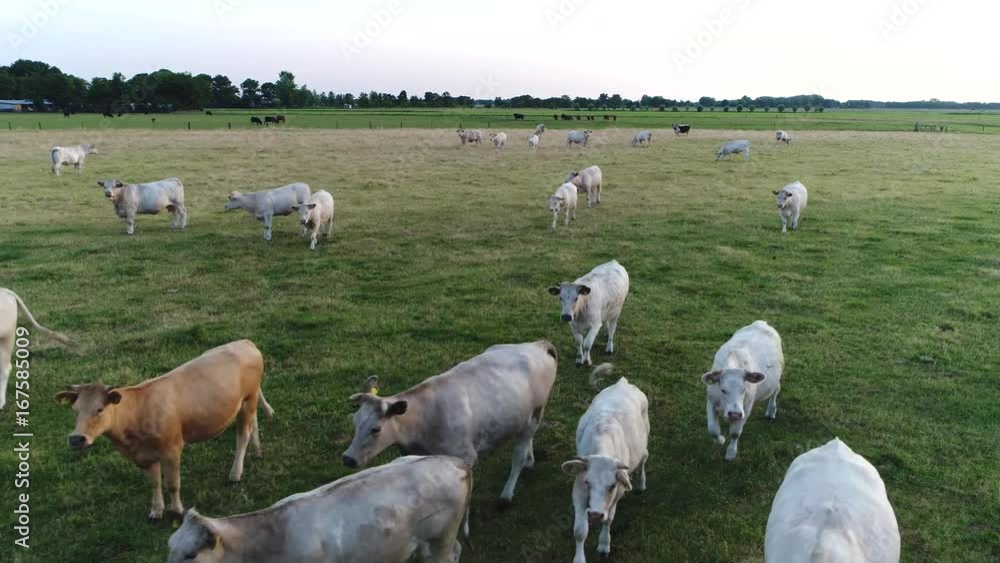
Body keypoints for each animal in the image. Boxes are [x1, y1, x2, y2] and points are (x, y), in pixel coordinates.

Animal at [54, 340, 274, 521]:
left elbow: (172, 483)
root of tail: (245, 342)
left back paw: (235, 473)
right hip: (247, 401)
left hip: (249, 398)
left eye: (99, 409)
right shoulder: (145, 457)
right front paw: (156, 511)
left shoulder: (172, 449)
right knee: (253, 423)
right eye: (75, 410)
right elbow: (155, 483)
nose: (76, 439)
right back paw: (257, 451)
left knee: (243, 434)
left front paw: (177, 510)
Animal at [343, 341, 558, 503]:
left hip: (536, 412)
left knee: (518, 454)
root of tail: (538, 345)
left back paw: (507, 493)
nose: (348, 458)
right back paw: (530, 460)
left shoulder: (466, 457)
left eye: (376, 429)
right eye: (354, 422)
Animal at [563, 364, 649, 563]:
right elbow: (580, 531)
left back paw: (641, 483)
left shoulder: (619, 492)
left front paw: (604, 544)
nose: (595, 514)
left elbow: (608, 519)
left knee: (643, 460)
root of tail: (622, 383)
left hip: (645, 442)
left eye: (611, 486)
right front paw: (579, 558)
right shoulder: (578, 490)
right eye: (588, 482)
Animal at [701, 320, 783, 461]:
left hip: (775, 379)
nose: (734, 414)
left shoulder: (745, 408)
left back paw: (771, 412)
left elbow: (735, 433)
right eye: (722, 390)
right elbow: (712, 428)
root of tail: (761, 323)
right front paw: (720, 440)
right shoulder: (711, 402)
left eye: (744, 389)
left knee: (775, 391)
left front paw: (731, 453)